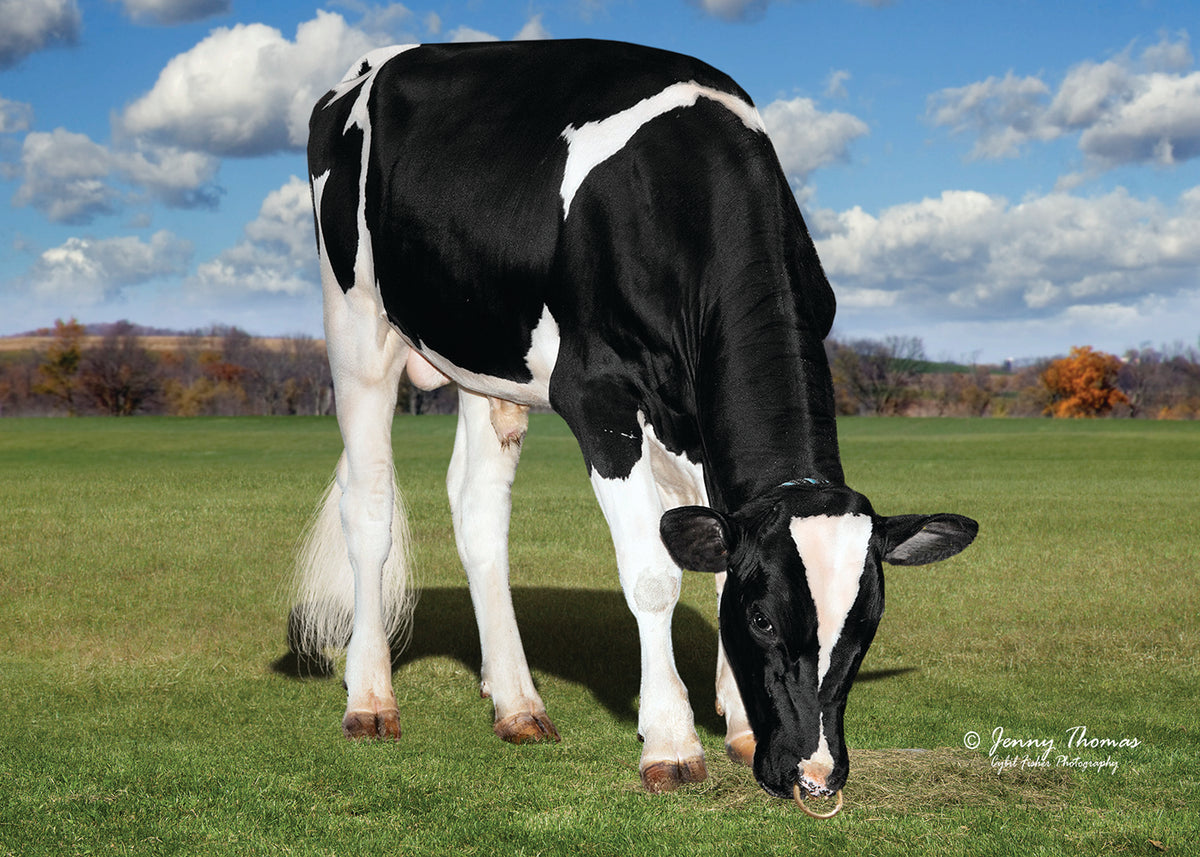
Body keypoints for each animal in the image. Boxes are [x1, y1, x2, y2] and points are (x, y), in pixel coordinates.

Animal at [291, 38, 978, 811]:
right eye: (765, 620)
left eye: (866, 626)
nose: (815, 773)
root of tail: (366, 66)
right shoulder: (599, 398)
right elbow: (653, 572)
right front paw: (672, 742)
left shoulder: (693, 416)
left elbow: (712, 555)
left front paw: (741, 727)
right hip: (356, 324)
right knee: (369, 506)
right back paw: (371, 699)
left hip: (486, 360)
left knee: (477, 508)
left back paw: (517, 703)